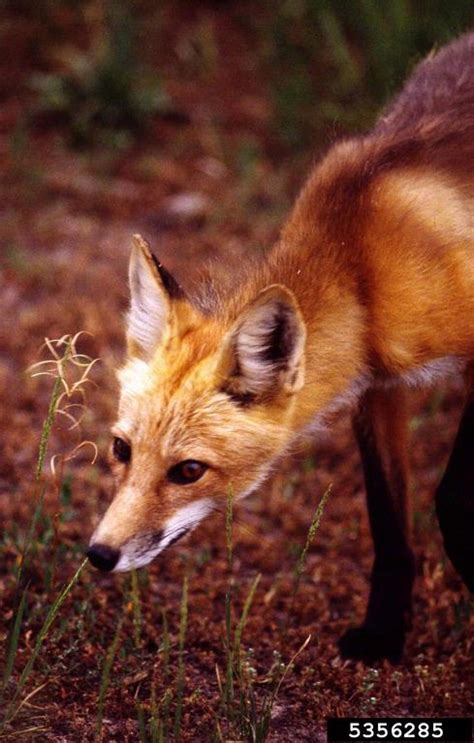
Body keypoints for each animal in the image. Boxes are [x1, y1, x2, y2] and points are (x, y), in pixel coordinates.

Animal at [87, 32, 474, 663]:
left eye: (189, 470)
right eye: (121, 449)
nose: (98, 555)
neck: (364, 267)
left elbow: (453, 498)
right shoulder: (379, 386)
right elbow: (389, 524)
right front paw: (384, 636)